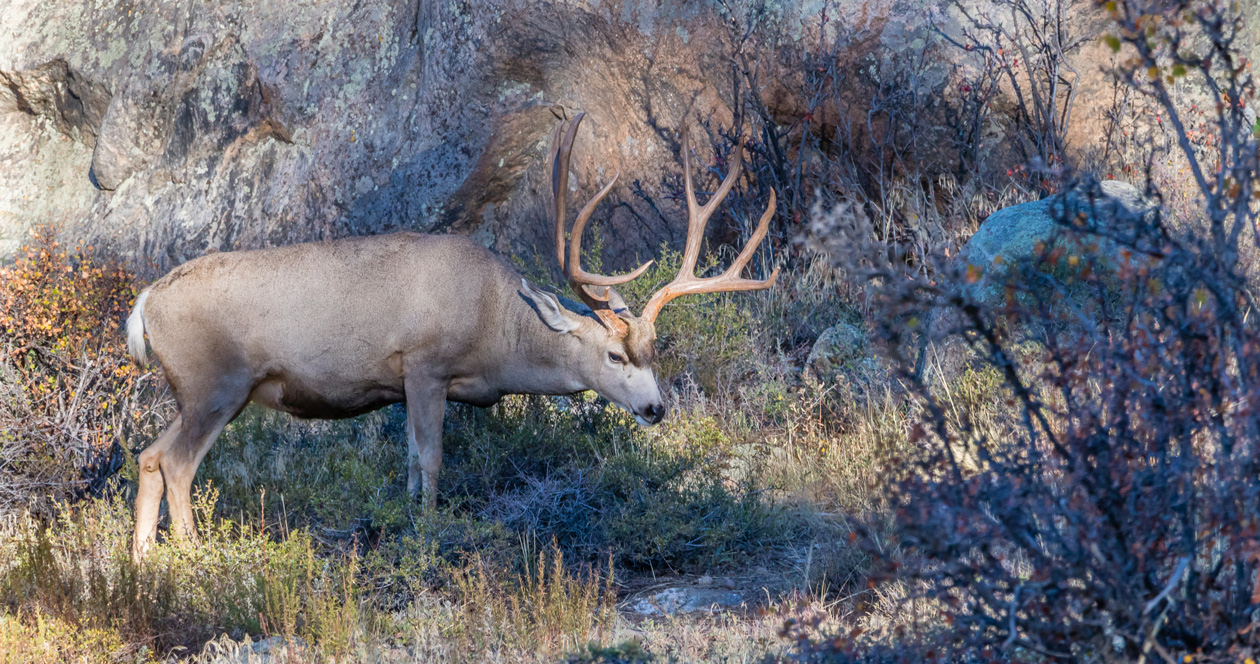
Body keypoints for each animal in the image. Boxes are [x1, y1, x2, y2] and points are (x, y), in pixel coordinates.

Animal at [124, 112, 778, 561]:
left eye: (654, 351)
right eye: (615, 353)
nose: (655, 408)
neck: (495, 324)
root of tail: (146, 302)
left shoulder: (410, 384)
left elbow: (412, 462)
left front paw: (411, 518)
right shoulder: (423, 365)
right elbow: (432, 459)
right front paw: (432, 529)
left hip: (196, 392)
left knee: (149, 456)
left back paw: (143, 562)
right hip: (218, 383)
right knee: (177, 464)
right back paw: (195, 556)